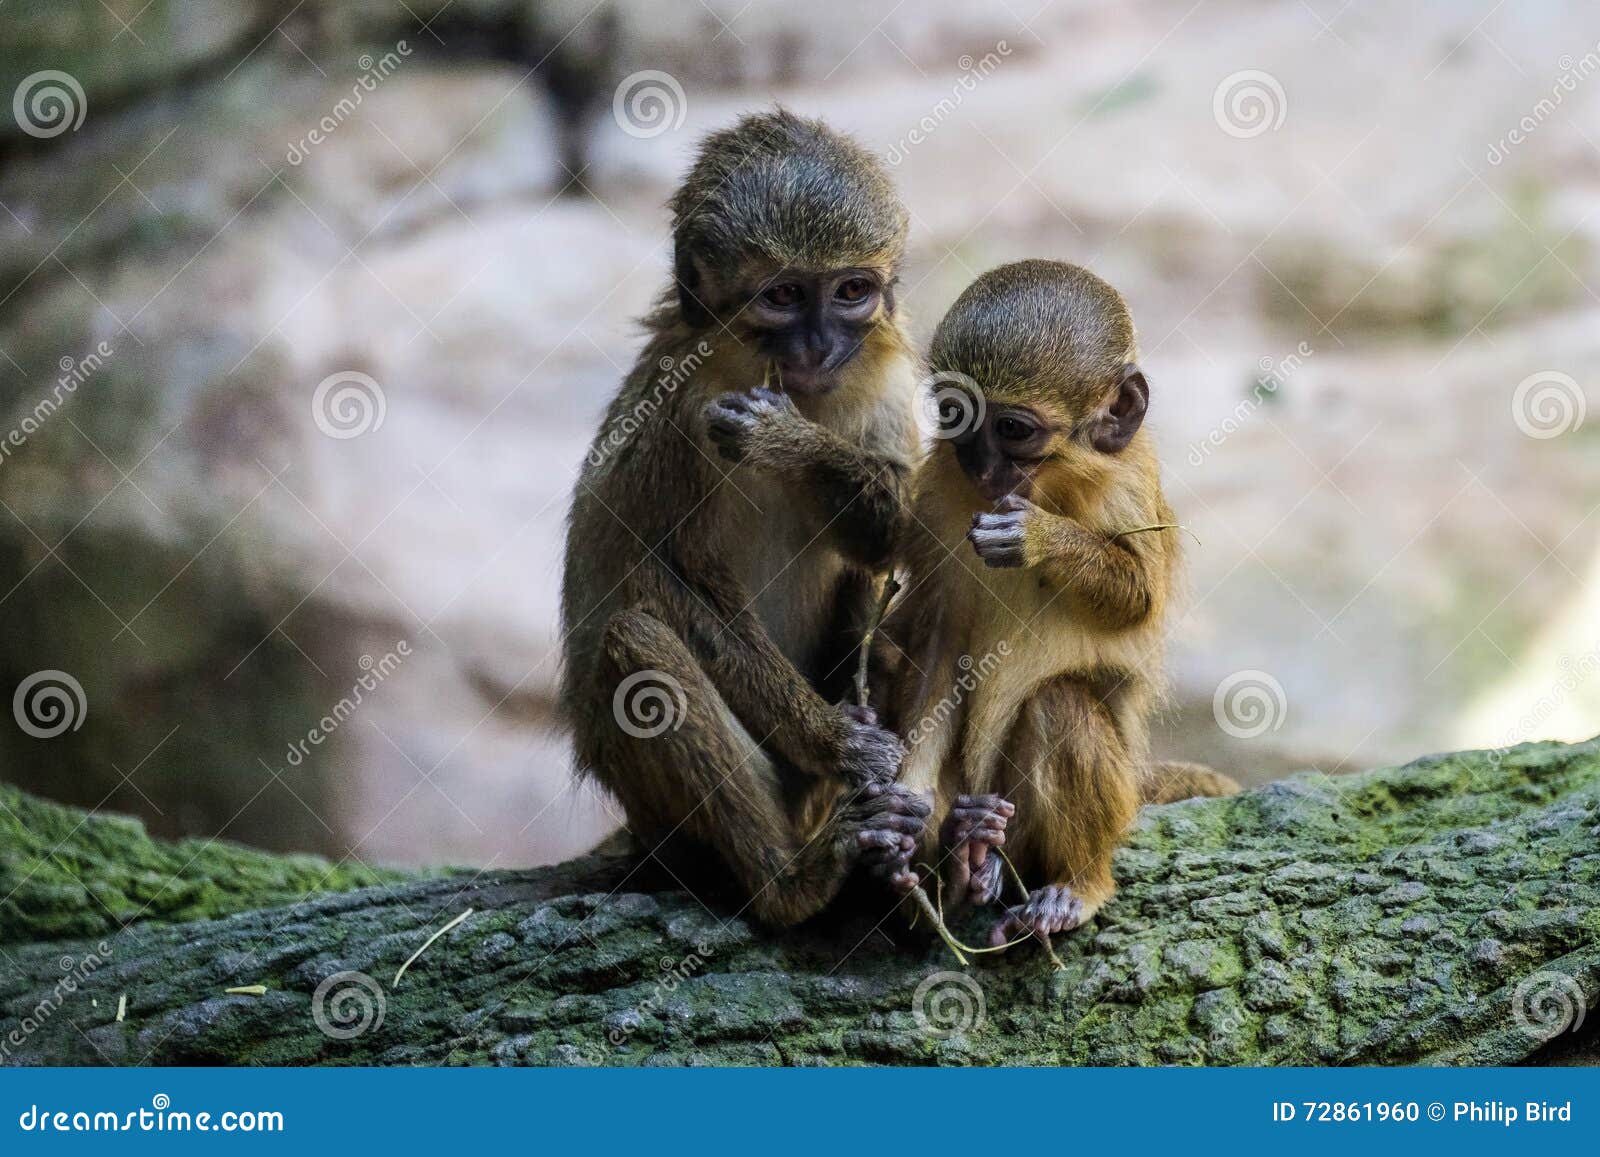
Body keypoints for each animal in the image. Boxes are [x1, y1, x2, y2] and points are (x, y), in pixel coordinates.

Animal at [560, 110, 932, 928]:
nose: (821, 344)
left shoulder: (891, 377)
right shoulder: (679, 412)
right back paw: (792, 883)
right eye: (785, 295)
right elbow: (659, 575)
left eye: (851, 290)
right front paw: (834, 739)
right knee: (636, 643)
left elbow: (896, 537)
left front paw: (788, 443)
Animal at [874, 259, 1238, 947]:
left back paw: (1068, 883)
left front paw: (1040, 539)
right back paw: (964, 856)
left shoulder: (1127, 487)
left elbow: (1138, 601)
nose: (980, 466)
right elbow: (937, 639)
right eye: (956, 415)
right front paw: (905, 811)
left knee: (1058, 702)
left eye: (1012, 430)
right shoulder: (934, 495)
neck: (1049, 484)